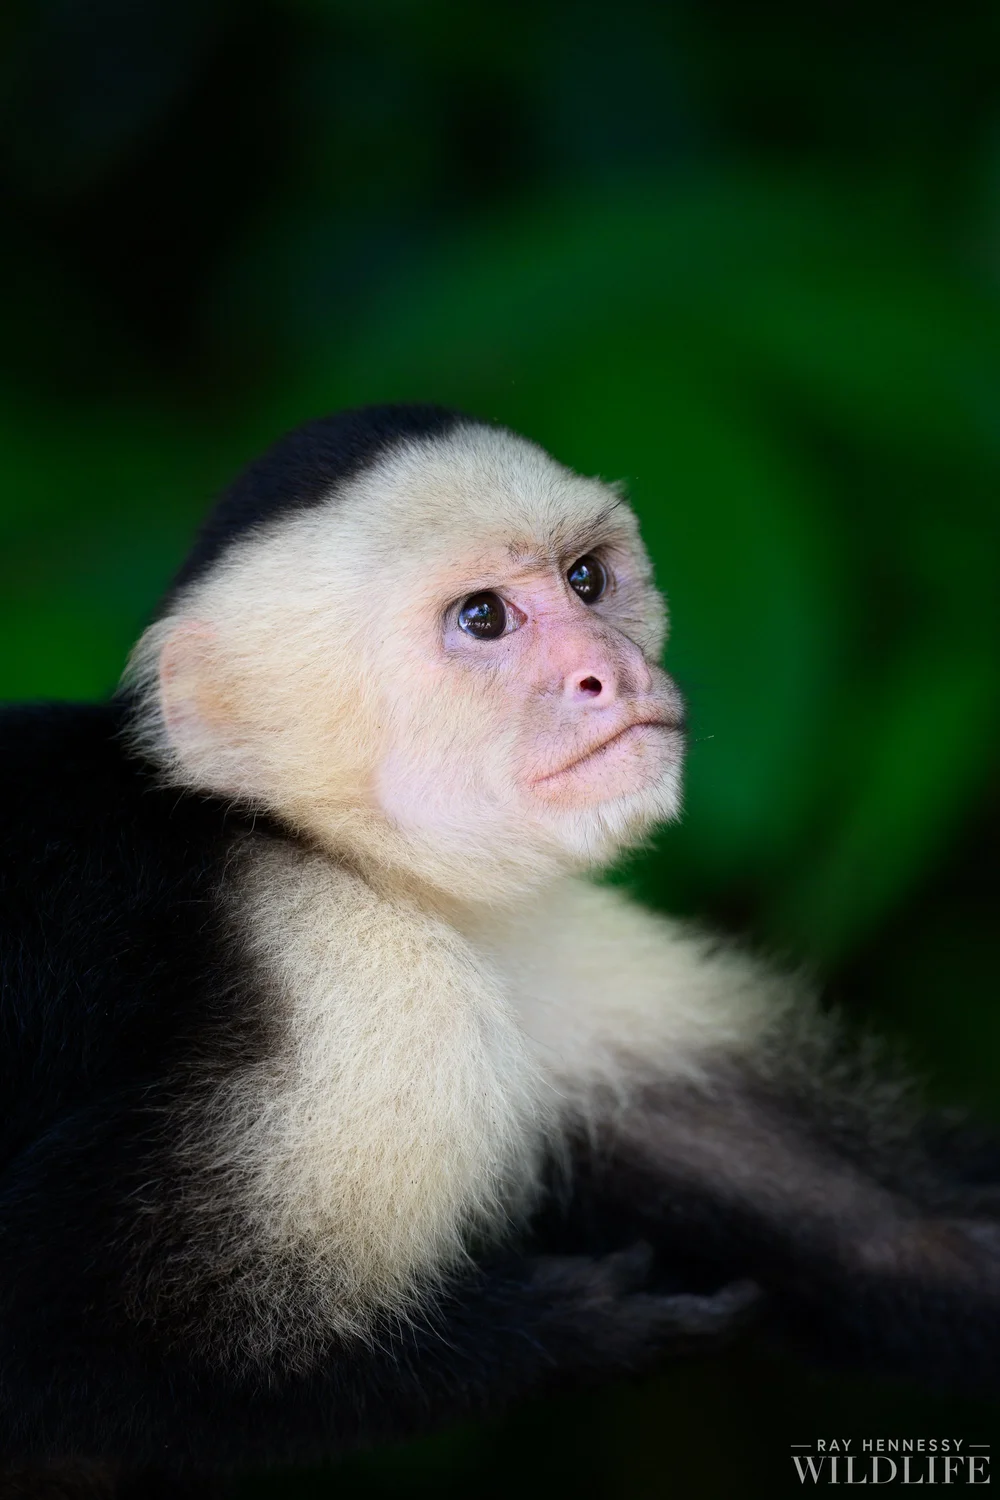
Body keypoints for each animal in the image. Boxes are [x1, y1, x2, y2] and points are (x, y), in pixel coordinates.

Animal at [1, 403, 998, 1495]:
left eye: (587, 579)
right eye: (482, 618)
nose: (611, 673)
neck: (335, 852)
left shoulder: (543, 951)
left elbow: (896, 1238)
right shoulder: (350, 979)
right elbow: (65, 1358)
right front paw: (582, 1329)